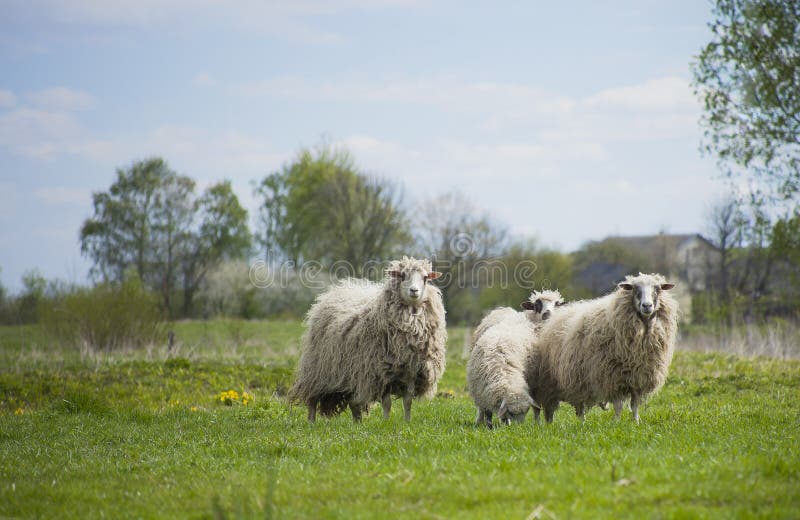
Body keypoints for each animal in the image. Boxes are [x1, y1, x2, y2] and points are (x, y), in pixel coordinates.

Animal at [289, 256, 447, 423]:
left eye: (425, 278)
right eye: (402, 276)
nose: (414, 291)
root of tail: (336, 290)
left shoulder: (411, 372)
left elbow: (408, 402)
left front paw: (407, 422)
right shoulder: (380, 372)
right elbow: (387, 403)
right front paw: (386, 423)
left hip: (352, 372)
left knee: (353, 402)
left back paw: (358, 423)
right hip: (317, 369)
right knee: (313, 398)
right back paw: (311, 421)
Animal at [467, 290, 563, 428]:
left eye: (557, 304)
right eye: (537, 305)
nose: (547, 314)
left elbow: (537, 408)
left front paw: (538, 424)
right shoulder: (482, 388)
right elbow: (487, 410)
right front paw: (489, 426)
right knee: (480, 408)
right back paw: (479, 422)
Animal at [526, 273, 678, 424]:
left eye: (658, 289)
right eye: (634, 289)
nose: (647, 306)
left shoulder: (639, 377)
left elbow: (634, 405)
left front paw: (636, 422)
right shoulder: (612, 376)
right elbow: (618, 405)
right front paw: (617, 423)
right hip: (561, 381)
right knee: (559, 407)